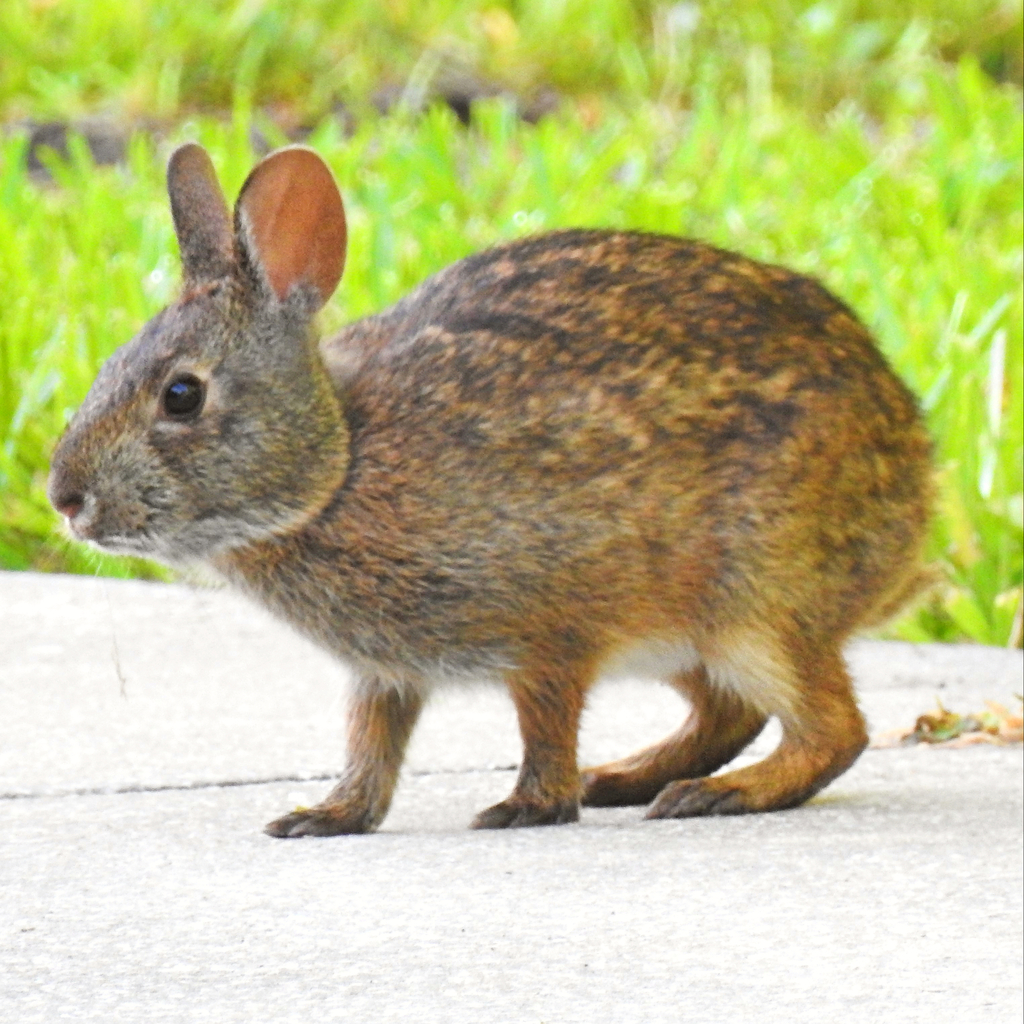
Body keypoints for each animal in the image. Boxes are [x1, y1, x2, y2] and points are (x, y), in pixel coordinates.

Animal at [48, 143, 933, 837]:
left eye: (181, 396)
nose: (65, 498)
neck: (337, 468)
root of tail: (914, 482)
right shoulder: (385, 670)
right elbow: (373, 741)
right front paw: (329, 816)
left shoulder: (550, 625)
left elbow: (542, 720)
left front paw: (528, 806)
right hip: (691, 633)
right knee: (732, 711)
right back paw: (627, 779)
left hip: (755, 602)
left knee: (832, 730)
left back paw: (713, 795)